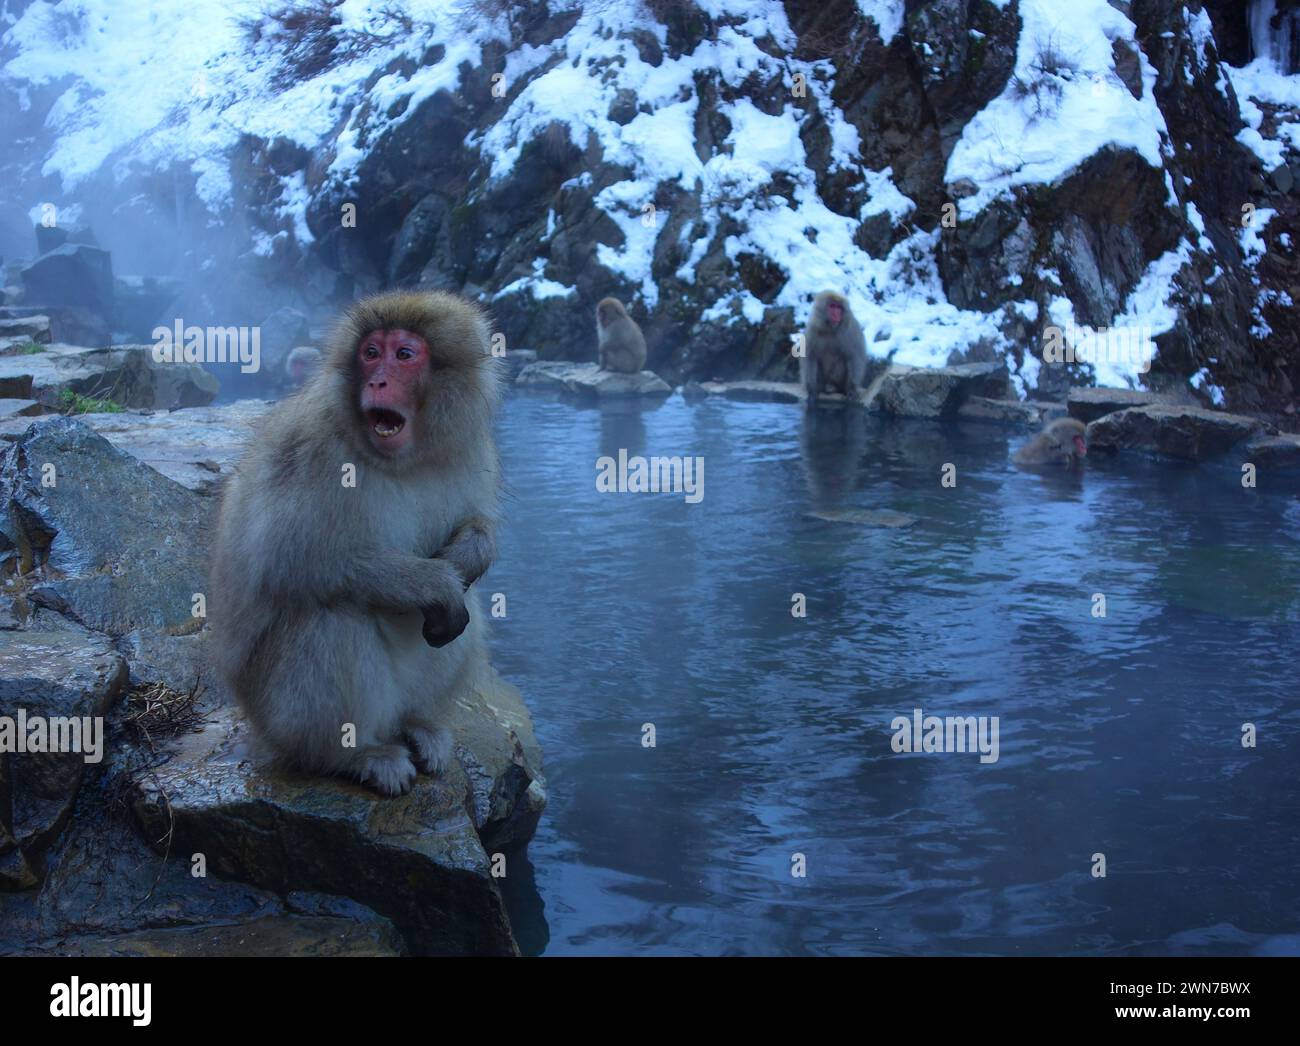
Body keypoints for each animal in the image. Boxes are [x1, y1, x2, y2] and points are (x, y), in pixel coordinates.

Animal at [209, 291, 501, 796]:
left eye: (404, 354)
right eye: (370, 353)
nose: (379, 380)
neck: (405, 461)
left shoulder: (471, 447)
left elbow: (476, 523)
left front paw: (469, 555)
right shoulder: (310, 449)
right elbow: (289, 562)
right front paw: (437, 583)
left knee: (469, 614)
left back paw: (419, 725)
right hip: (276, 715)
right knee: (334, 617)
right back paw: (353, 755)